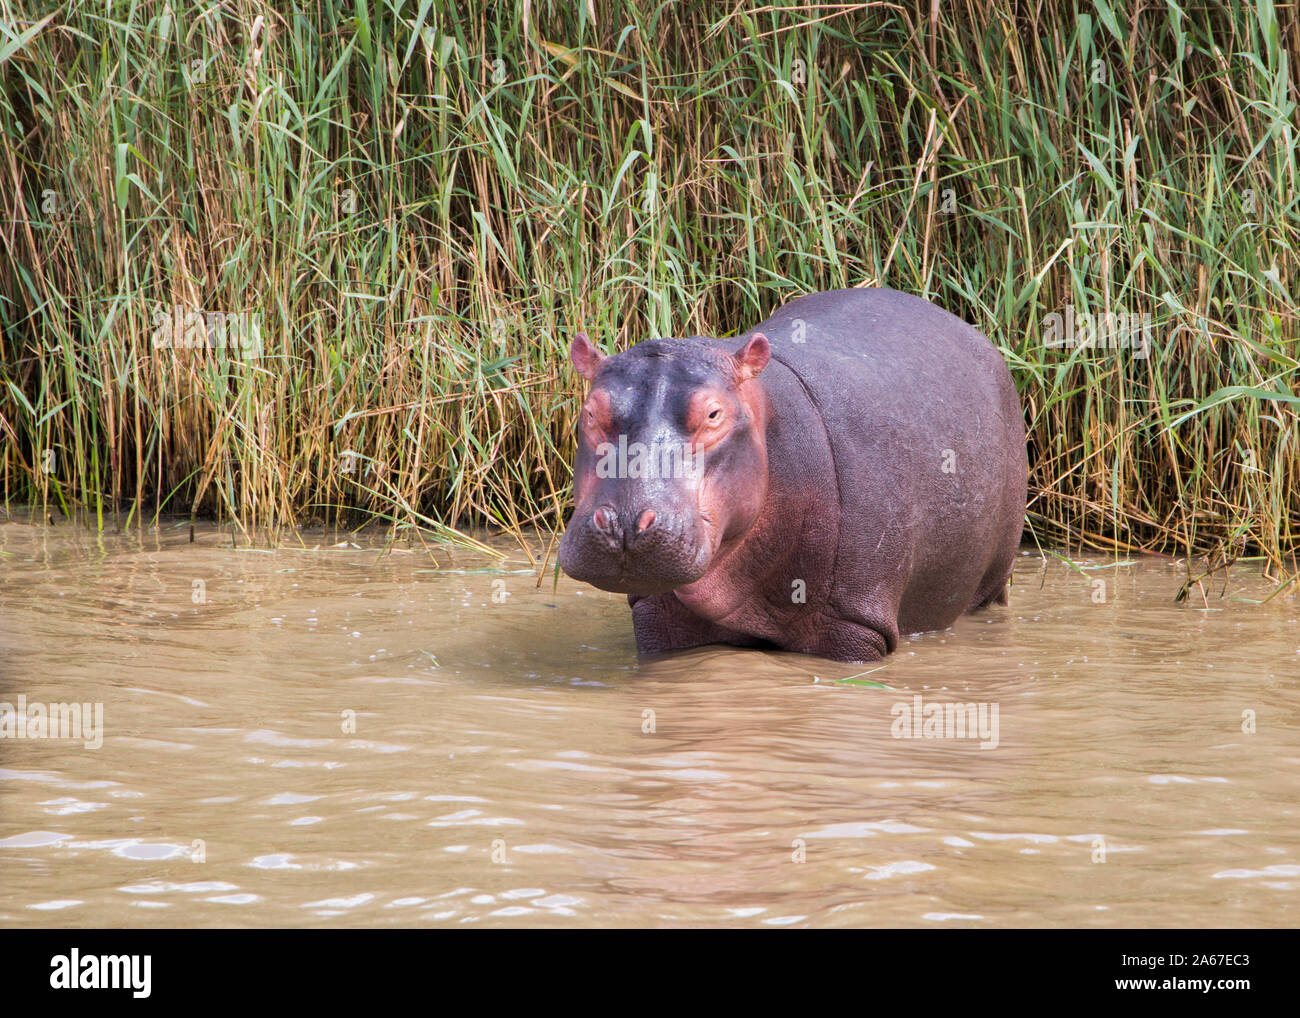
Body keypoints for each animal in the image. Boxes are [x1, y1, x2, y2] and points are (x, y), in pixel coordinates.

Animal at [558, 287, 1028, 662]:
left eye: (713, 414)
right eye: (590, 411)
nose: (623, 523)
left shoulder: (852, 624)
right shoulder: (657, 616)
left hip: (995, 573)